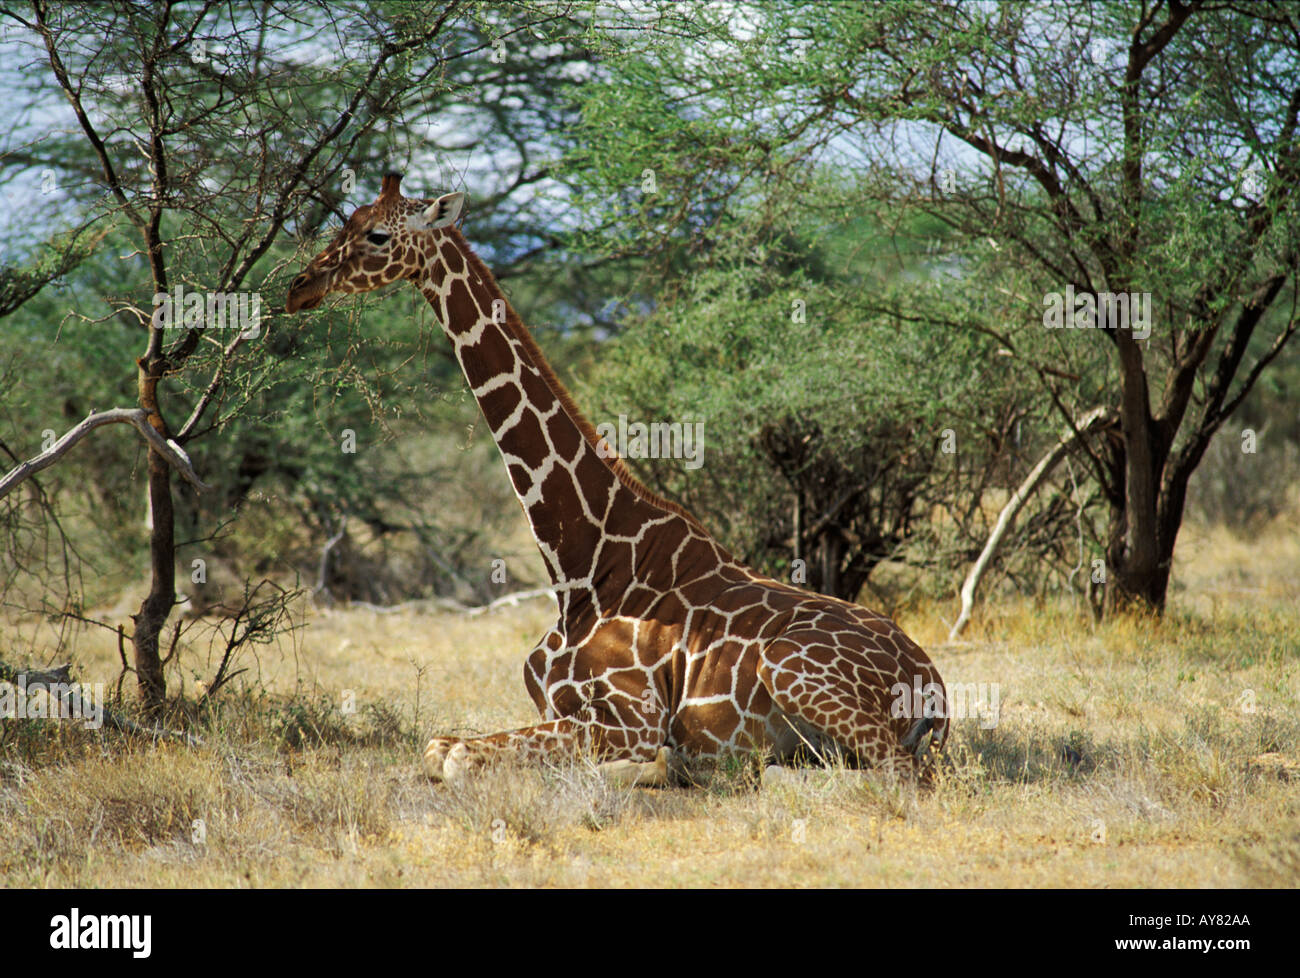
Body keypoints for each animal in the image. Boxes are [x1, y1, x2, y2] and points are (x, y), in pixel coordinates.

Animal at [286, 173, 950, 785]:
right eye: (346, 220)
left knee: (893, 773)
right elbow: (438, 745)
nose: (299, 286)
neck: (580, 563)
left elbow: (458, 757)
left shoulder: (634, 718)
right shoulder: (556, 706)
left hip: (792, 671)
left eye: (376, 234)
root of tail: (934, 686)